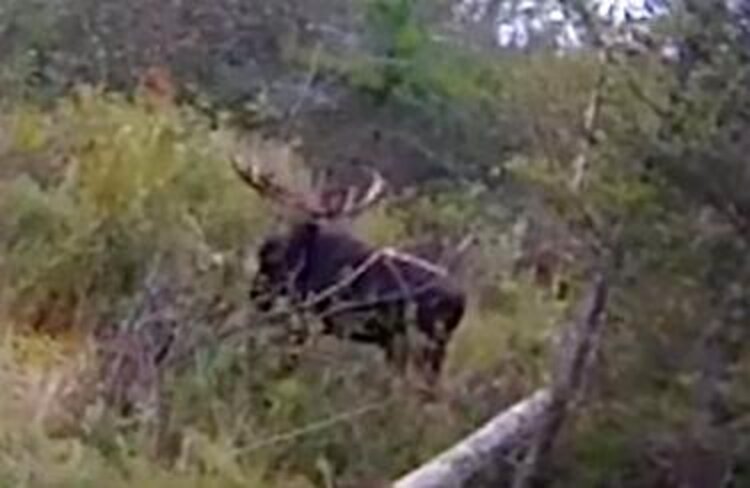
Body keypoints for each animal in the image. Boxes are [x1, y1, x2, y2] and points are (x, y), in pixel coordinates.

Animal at [231, 152, 466, 387]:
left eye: (274, 255)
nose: (256, 295)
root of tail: (460, 301)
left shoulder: (313, 315)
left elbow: (289, 360)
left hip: (422, 340)